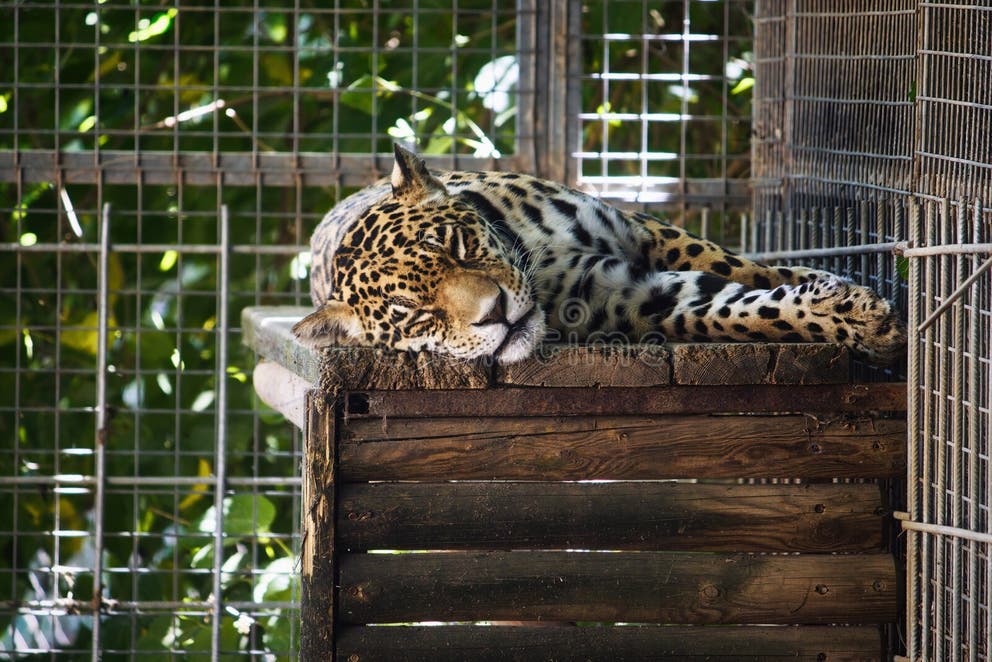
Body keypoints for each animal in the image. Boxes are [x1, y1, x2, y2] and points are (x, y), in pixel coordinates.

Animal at [293, 144, 907, 366]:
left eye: (459, 247)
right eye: (418, 317)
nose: (496, 314)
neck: (536, 257)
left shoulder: (642, 231)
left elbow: (735, 267)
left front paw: (837, 292)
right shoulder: (625, 297)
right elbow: (736, 312)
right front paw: (851, 317)